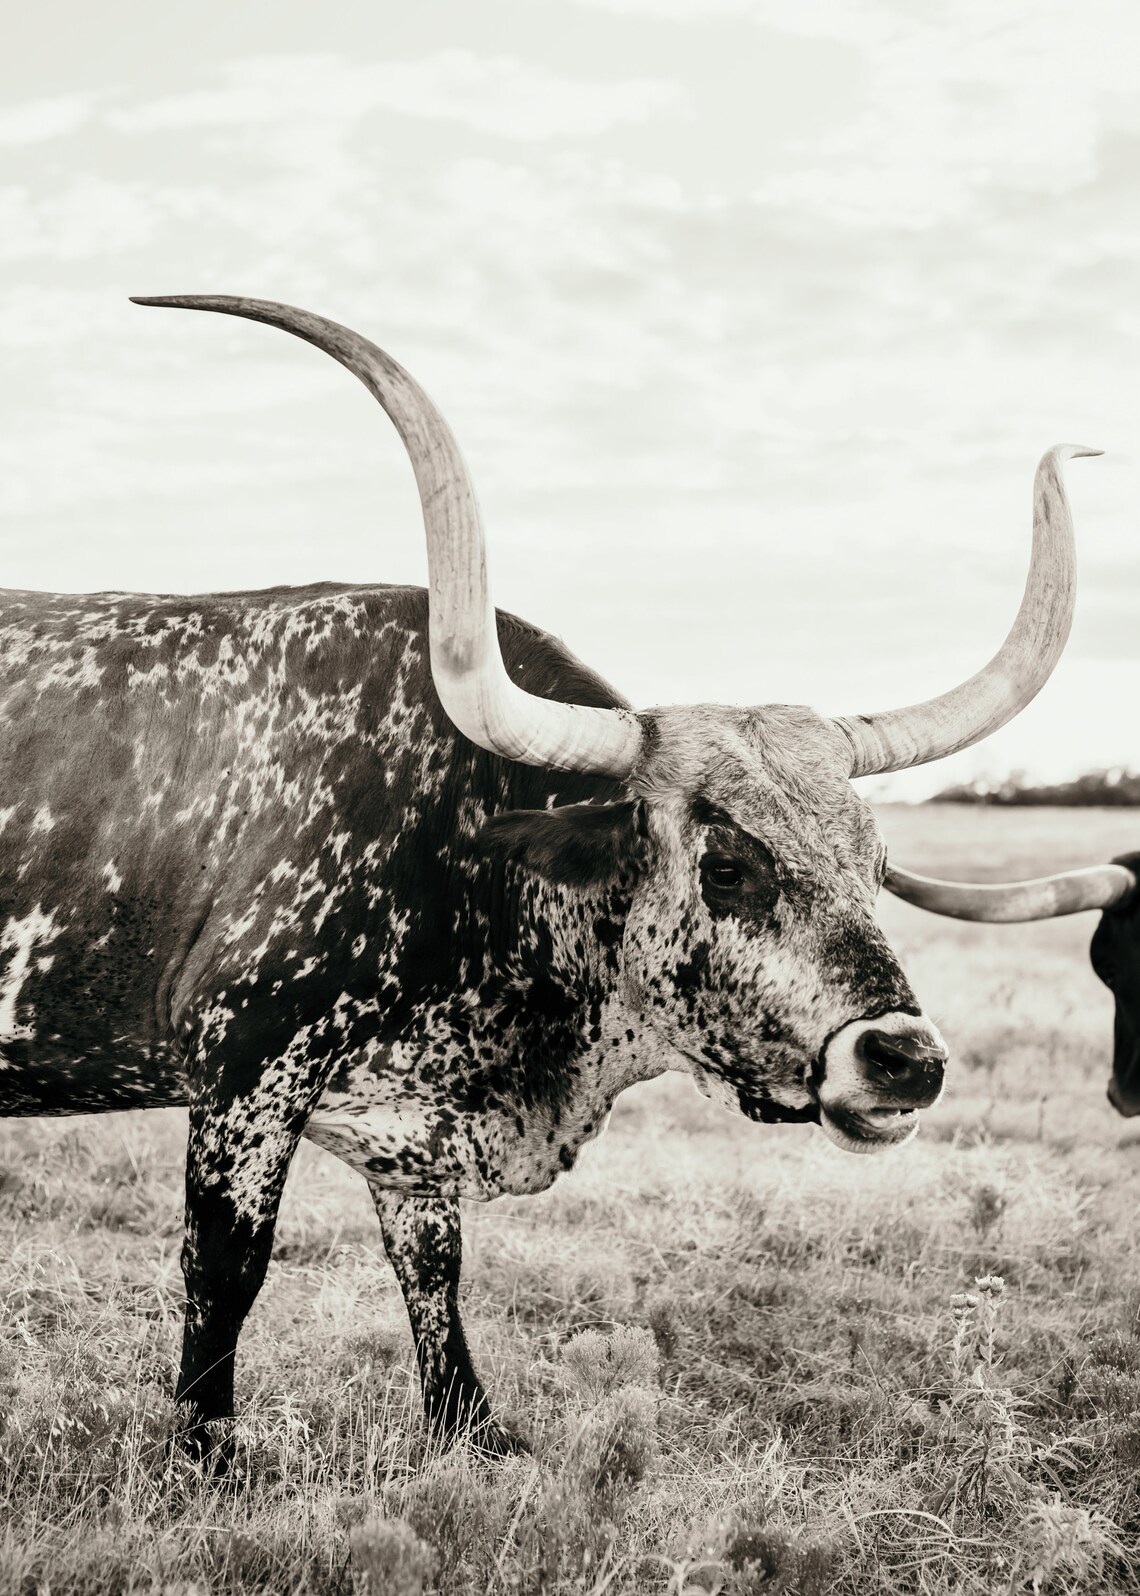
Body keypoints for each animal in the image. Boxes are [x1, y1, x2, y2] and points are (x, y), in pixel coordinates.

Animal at [0, 293, 1097, 1465]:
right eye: (727, 866)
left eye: (878, 863)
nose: (906, 1062)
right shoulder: (246, 1068)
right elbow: (227, 1271)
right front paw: (204, 1454)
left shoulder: (415, 1130)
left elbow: (433, 1271)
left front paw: (470, 1432)